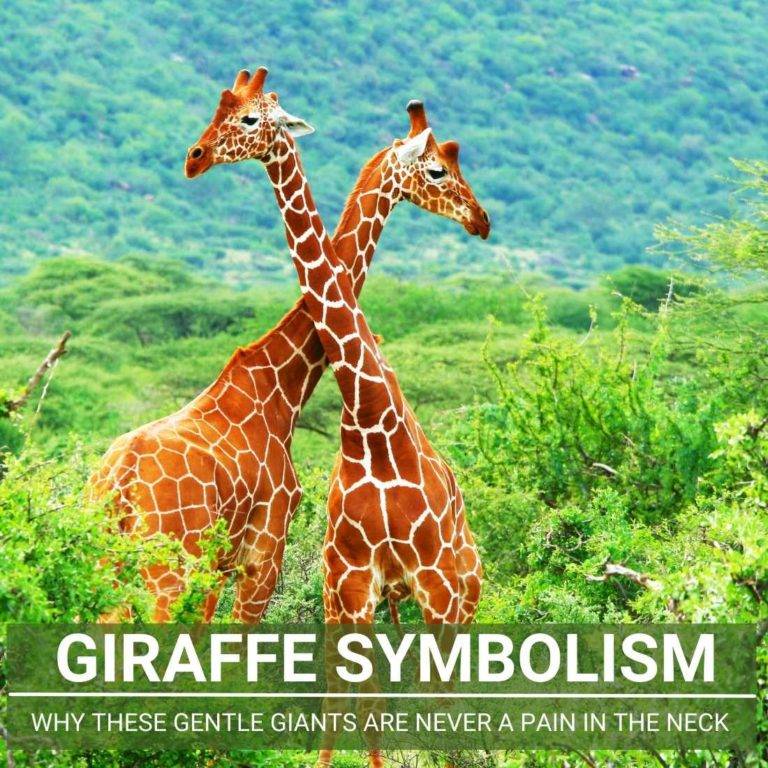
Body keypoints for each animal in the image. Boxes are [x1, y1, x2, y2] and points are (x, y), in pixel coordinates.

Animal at [91, 67, 489, 625]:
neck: (282, 385)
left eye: (246, 117)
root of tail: (119, 483)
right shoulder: (266, 552)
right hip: (166, 569)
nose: (480, 218)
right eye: (438, 171)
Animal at [185, 68, 487, 768]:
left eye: (249, 118)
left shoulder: (431, 584)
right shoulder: (346, 583)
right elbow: (351, 702)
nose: (482, 220)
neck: (371, 419)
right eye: (439, 169)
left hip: (462, 592)